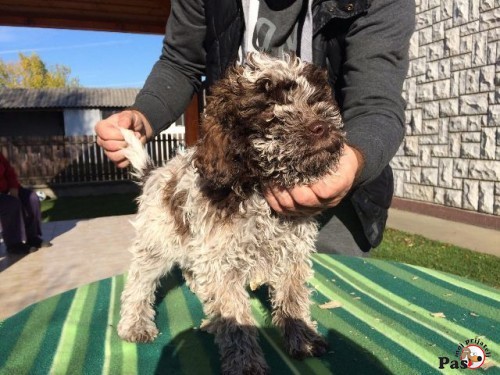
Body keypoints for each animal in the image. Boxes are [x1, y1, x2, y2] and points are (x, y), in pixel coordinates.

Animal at [117, 53, 344, 375]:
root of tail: (155, 173)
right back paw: (135, 323)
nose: (322, 126)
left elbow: (292, 296)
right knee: (139, 281)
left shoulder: (291, 254)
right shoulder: (221, 261)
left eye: (315, 98)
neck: (259, 189)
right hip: (158, 241)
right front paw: (245, 362)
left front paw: (303, 337)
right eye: (268, 108)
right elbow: (235, 317)